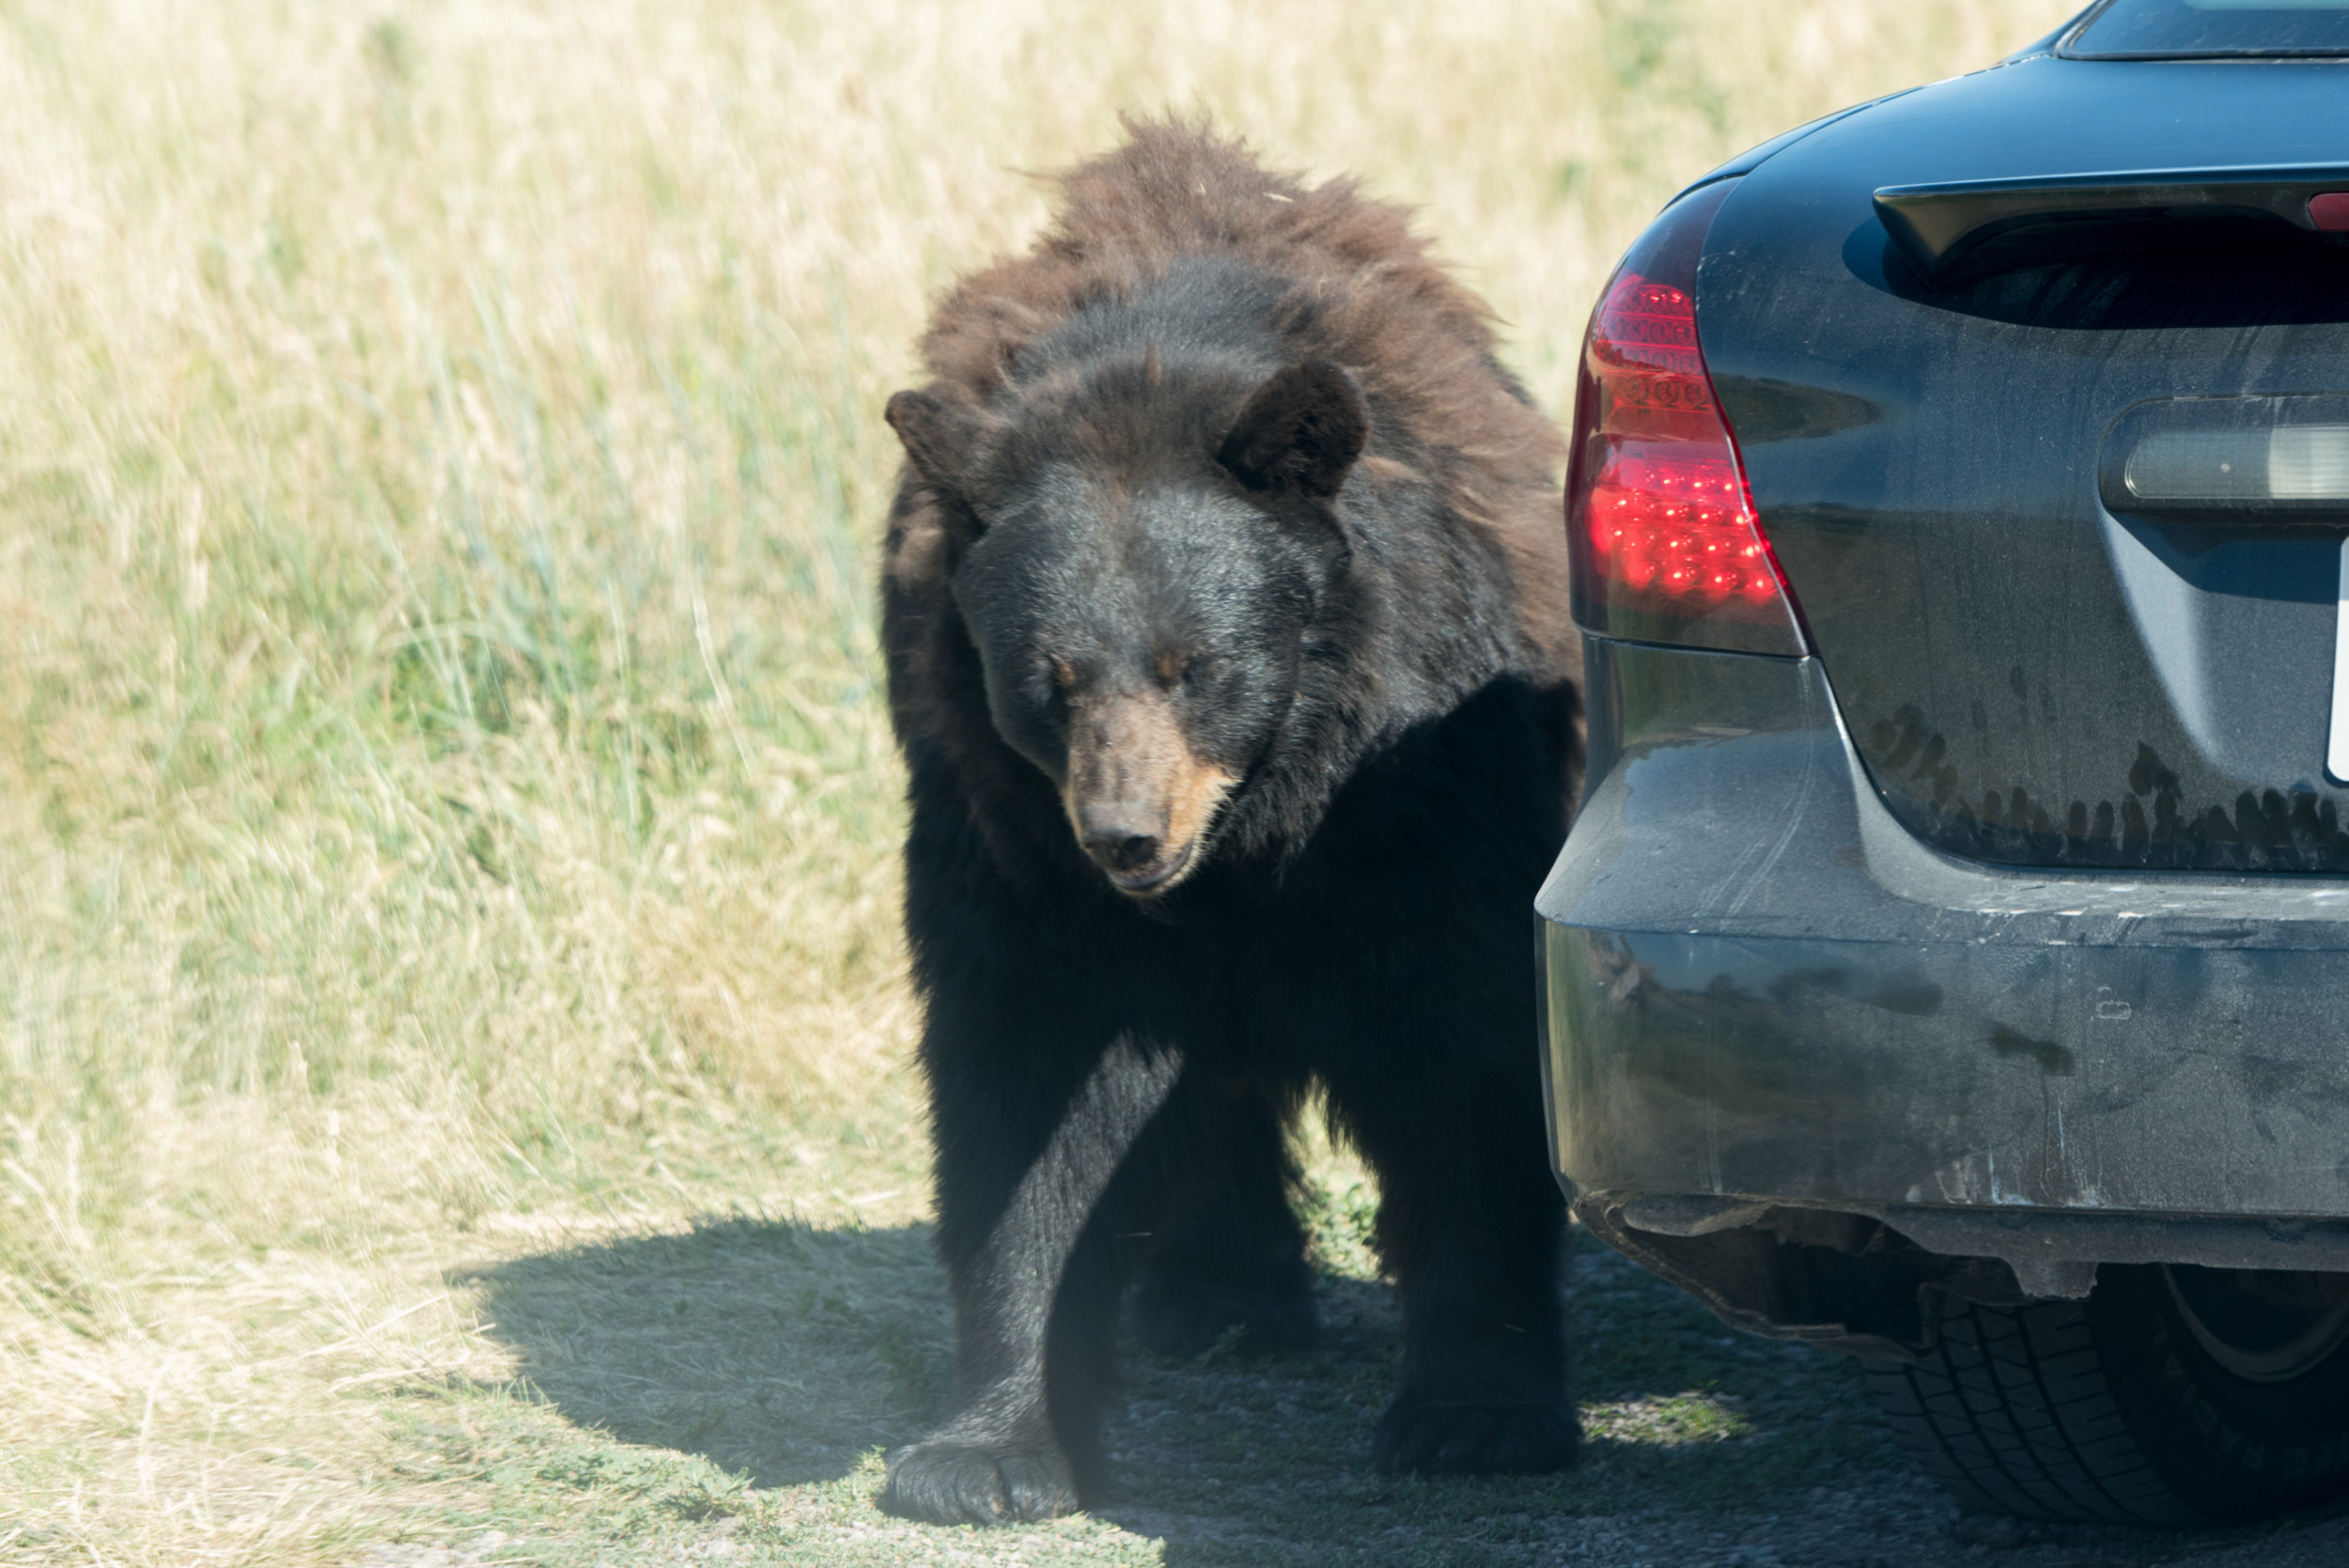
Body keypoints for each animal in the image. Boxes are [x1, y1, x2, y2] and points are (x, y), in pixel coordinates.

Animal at [874, 119, 1583, 1526]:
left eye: (1192, 663)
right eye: (1047, 675)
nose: (1124, 836)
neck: (1259, 835)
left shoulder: (1425, 805)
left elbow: (1461, 1050)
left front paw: (1475, 1414)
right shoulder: (1009, 845)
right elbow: (1026, 1086)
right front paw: (986, 1450)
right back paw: (1219, 1293)